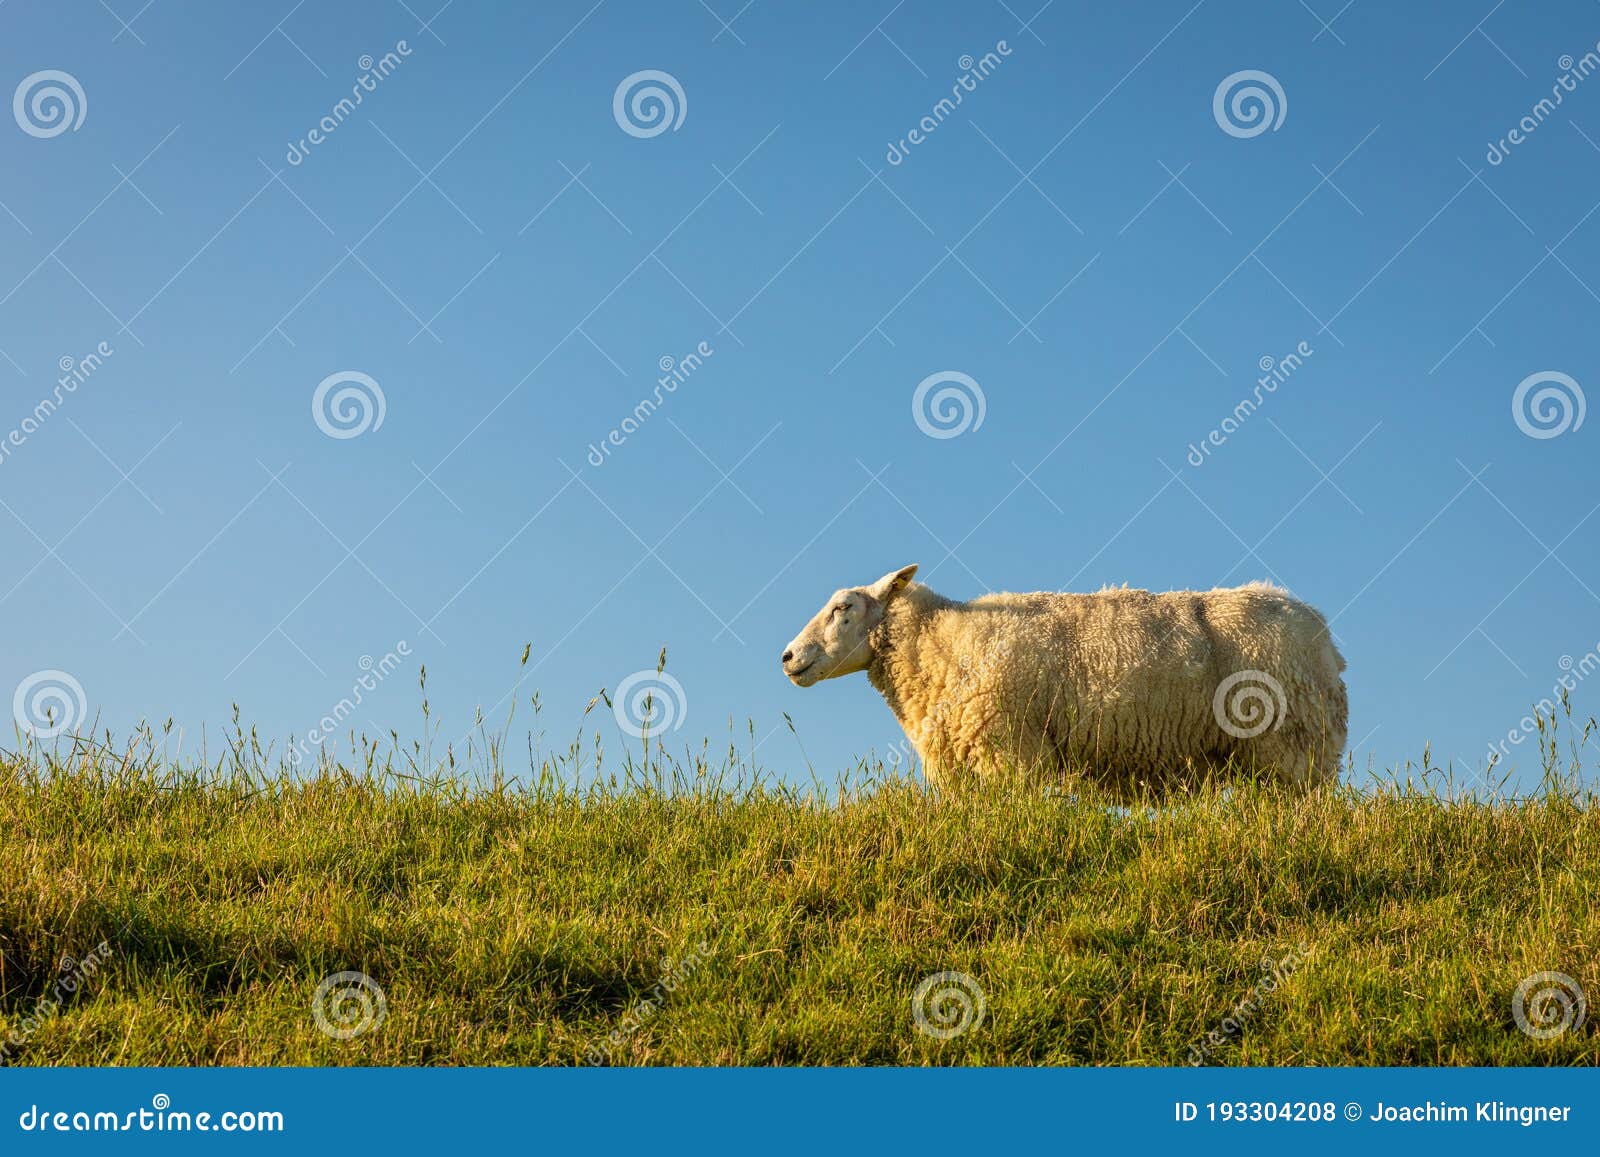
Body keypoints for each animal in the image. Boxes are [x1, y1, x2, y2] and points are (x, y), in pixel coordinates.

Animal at [780, 564, 1347, 794]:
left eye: (843, 608)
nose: (787, 658)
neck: (939, 641)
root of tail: (1325, 636)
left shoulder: (1011, 750)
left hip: (1292, 747)